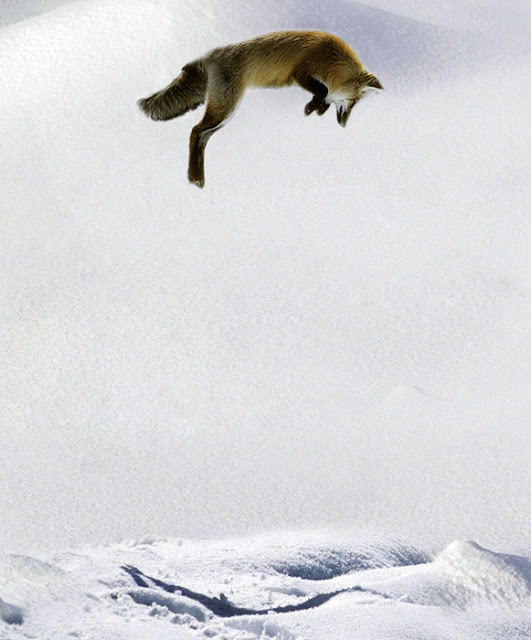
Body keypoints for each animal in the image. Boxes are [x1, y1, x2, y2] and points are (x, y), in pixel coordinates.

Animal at [138, 31, 383, 188]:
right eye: (351, 102)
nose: (344, 124)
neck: (332, 58)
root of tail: (207, 57)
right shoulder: (300, 70)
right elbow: (322, 90)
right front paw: (312, 107)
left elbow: (323, 95)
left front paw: (318, 108)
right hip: (226, 108)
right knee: (196, 131)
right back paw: (195, 178)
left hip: (226, 113)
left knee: (202, 137)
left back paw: (196, 179)